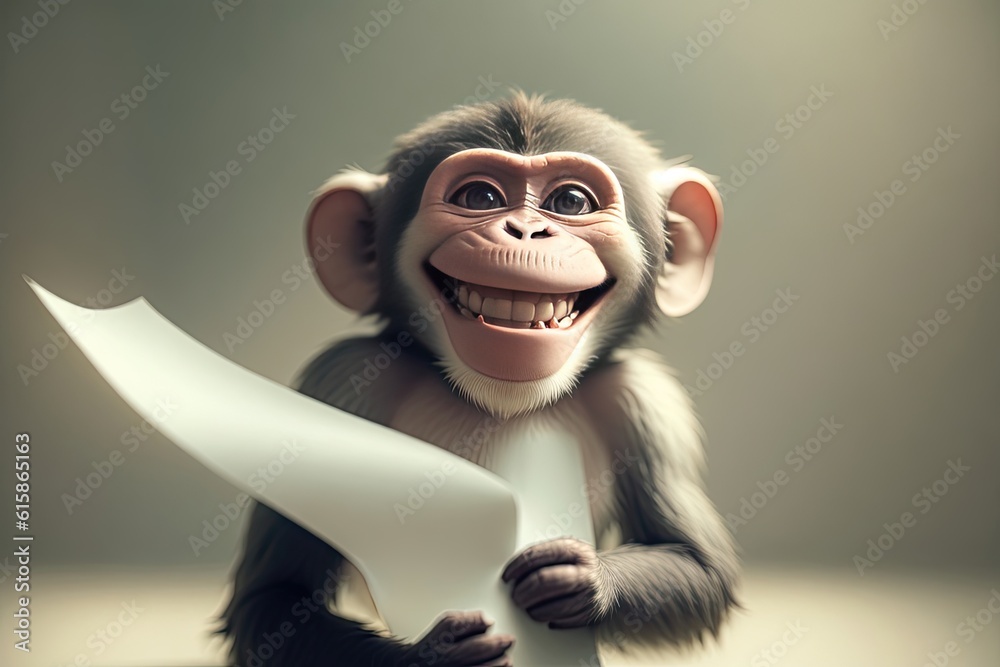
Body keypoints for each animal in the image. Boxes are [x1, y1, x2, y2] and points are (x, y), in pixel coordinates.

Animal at [219, 92, 739, 666]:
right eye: (479, 196)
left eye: (570, 203)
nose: (526, 230)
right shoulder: (342, 376)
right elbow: (273, 600)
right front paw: (437, 652)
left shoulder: (643, 399)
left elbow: (700, 565)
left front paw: (580, 579)